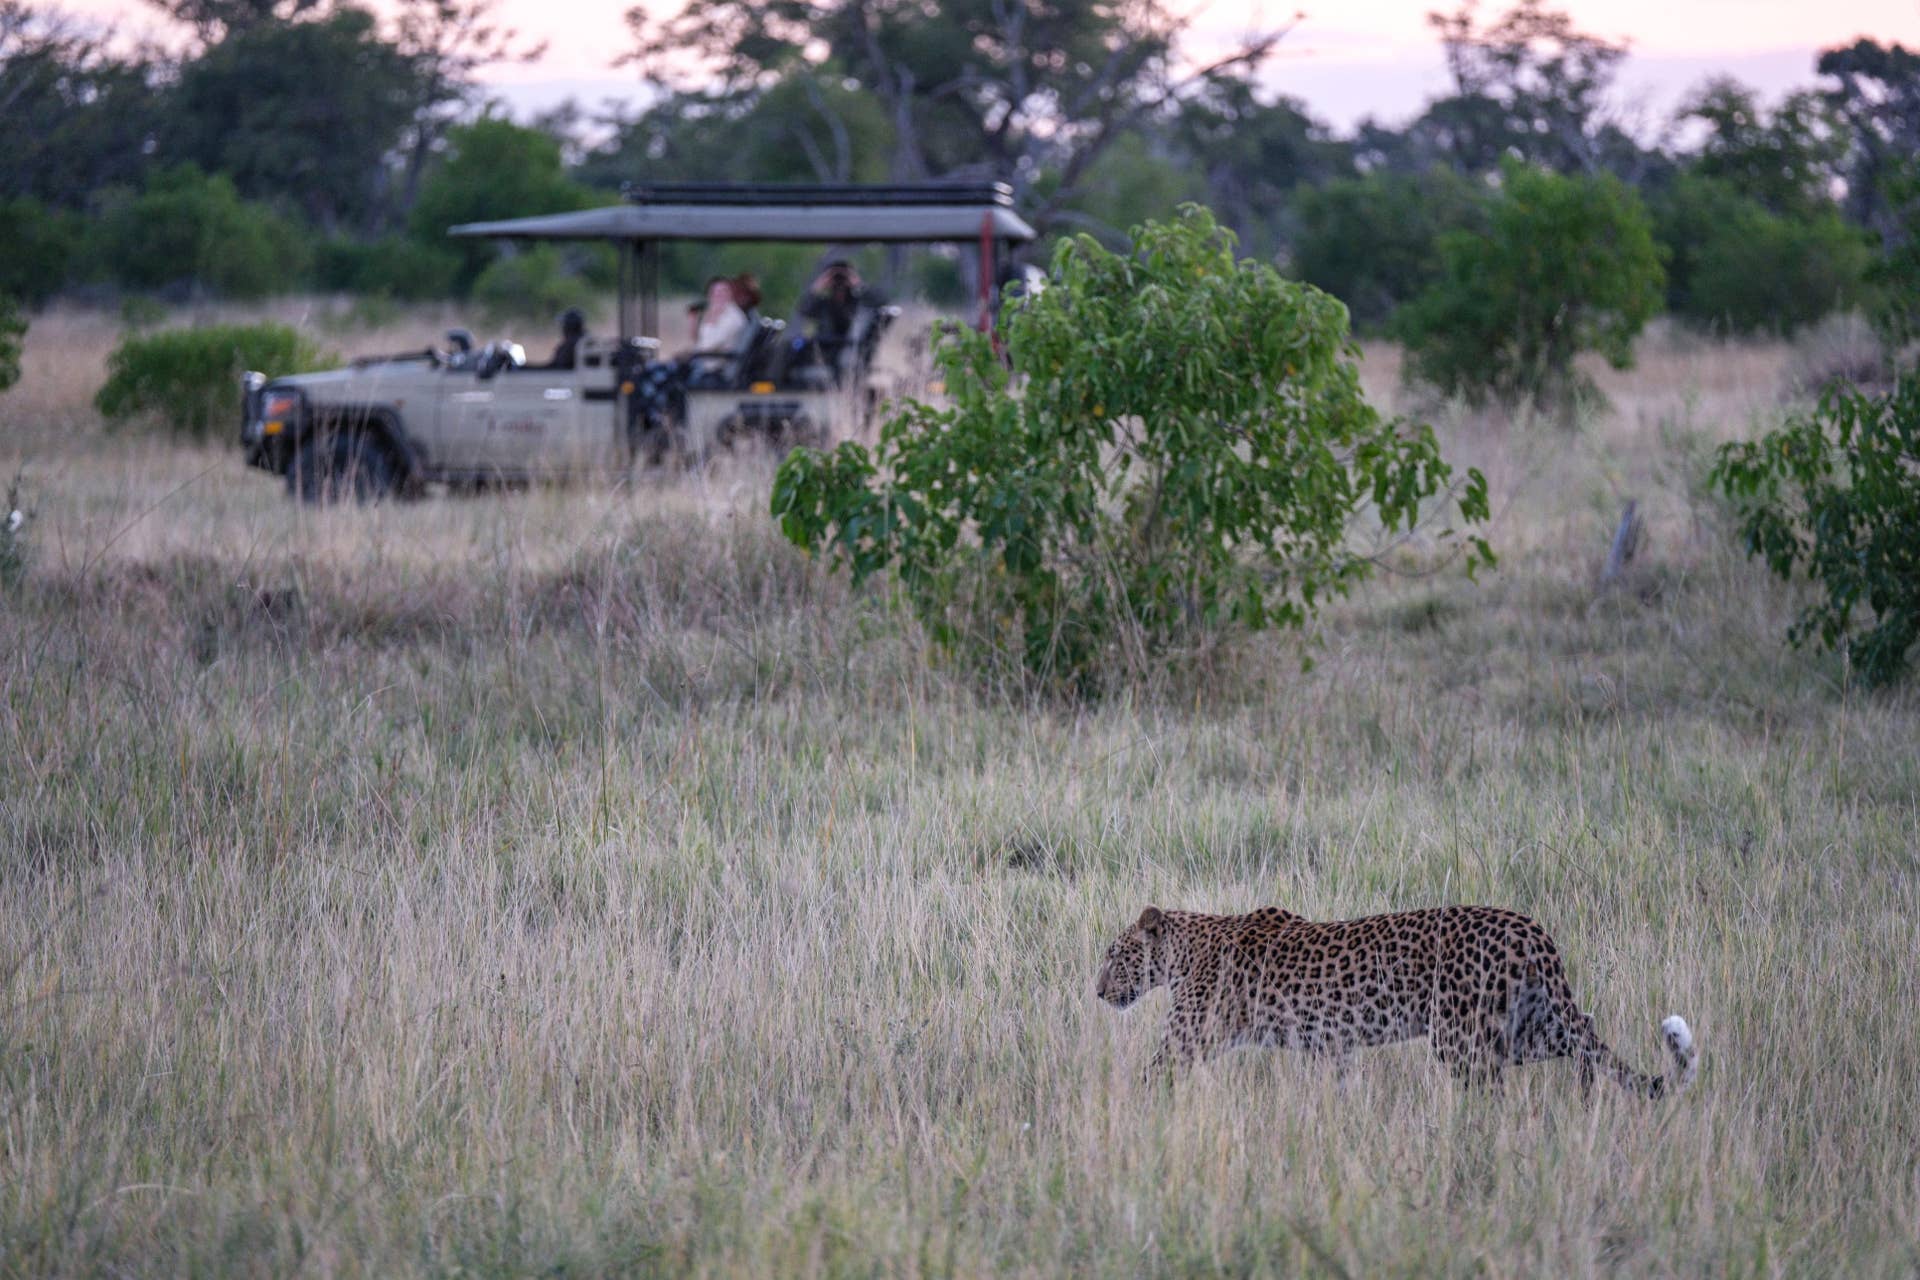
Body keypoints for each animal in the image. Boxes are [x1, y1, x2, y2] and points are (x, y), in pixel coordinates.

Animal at [1096, 904, 1698, 1098]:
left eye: (1114, 954)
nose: (1098, 991)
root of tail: (1531, 930)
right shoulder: (1331, 1045)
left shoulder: (1184, 1040)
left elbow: (1149, 1076)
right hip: (1528, 1026)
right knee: (1586, 1039)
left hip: (1460, 1037)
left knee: (1491, 1090)